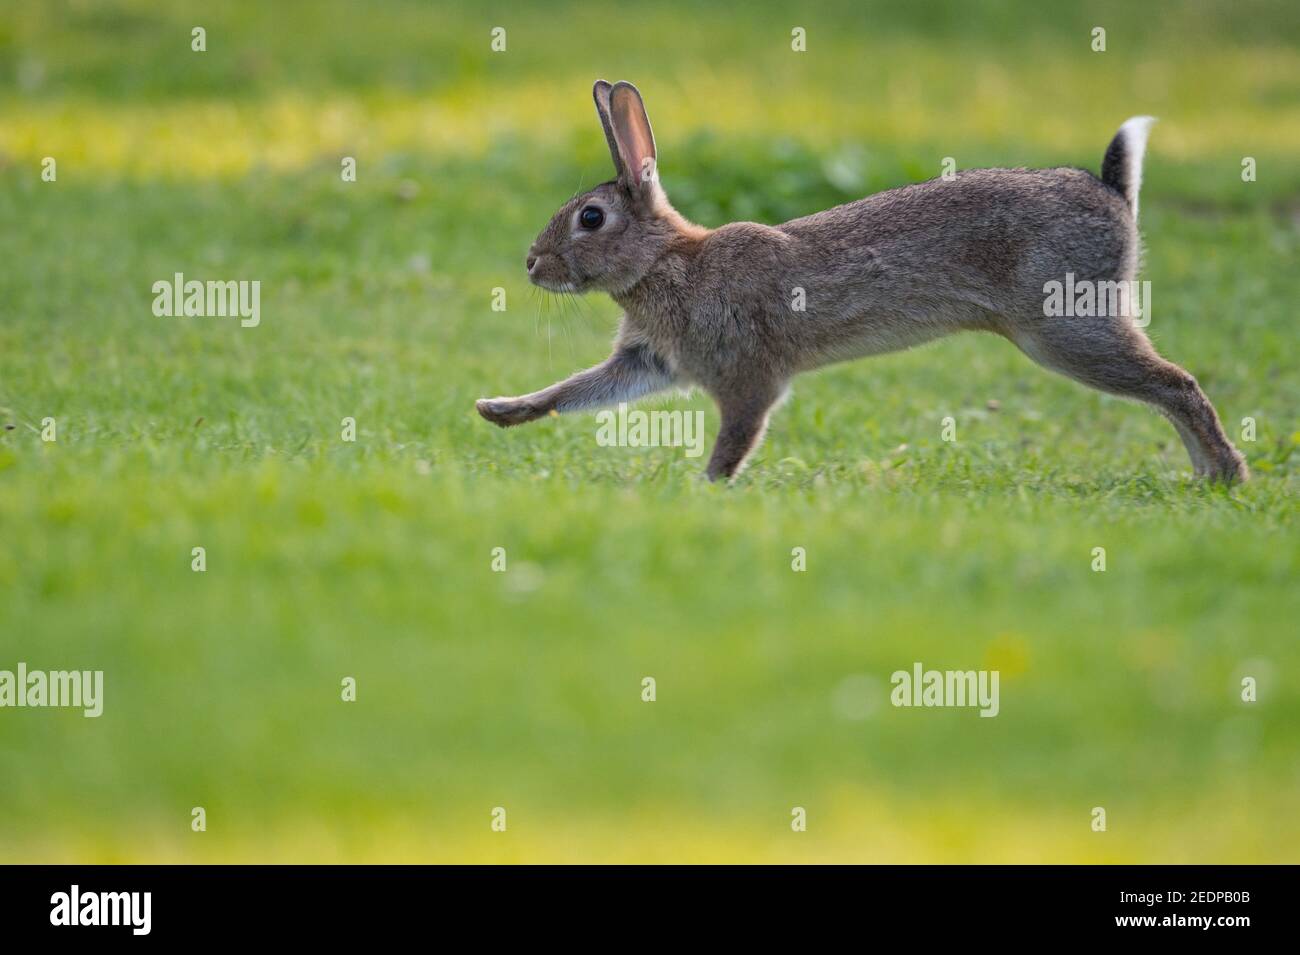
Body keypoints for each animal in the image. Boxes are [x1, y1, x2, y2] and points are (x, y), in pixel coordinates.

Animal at [476, 80, 1248, 484]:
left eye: (591, 217)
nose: (531, 264)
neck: (668, 260)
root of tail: (1116, 194)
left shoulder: (747, 377)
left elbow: (736, 436)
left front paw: (706, 489)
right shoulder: (649, 361)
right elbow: (577, 391)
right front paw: (500, 410)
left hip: (1066, 327)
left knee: (1177, 384)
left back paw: (1223, 474)